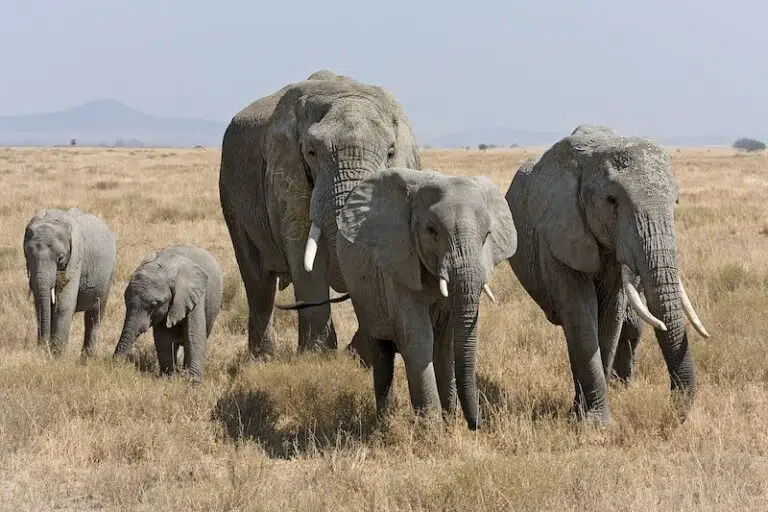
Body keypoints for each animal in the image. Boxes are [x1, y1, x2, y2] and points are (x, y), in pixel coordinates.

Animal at [23, 207, 117, 357]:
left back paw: (86, 359)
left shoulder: (76, 257)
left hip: (109, 274)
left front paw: (57, 355)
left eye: (61, 258)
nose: (43, 348)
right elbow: (40, 304)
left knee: (95, 315)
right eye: (27, 255)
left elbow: (64, 304)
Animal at [113, 244, 223, 382]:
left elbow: (194, 335)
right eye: (125, 301)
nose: (115, 364)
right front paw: (168, 378)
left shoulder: (194, 297)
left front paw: (192, 383)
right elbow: (163, 337)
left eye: (154, 304)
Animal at [218, 69, 421, 359]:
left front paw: (359, 356)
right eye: (311, 152)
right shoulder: (285, 175)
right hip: (230, 191)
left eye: (391, 152)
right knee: (257, 279)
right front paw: (317, 355)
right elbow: (303, 254)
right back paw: (262, 358)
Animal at [278, 167, 517, 430]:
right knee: (381, 354)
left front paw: (447, 422)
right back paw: (384, 420)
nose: (477, 425)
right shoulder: (398, 264)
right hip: (364, 295)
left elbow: (445, 343)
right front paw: (432, 430)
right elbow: (418, 337)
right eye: (432, 231)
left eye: (487, 236)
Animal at [504, 124, 710, 425]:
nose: (672, 414)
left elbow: (610, 316)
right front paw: (596, 424)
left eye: (676, 201)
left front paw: (586, 417)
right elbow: (581, 314)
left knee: (630, 324)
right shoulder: (560, 236)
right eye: (612, 201)